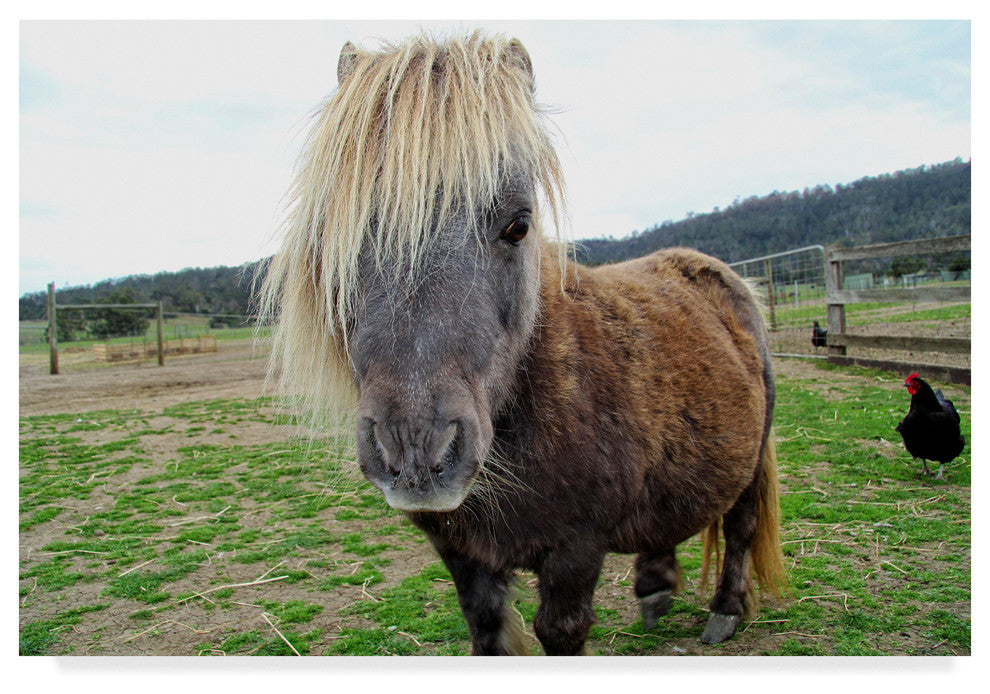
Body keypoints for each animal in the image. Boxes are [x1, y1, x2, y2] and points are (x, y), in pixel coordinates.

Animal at [260, 31, 786, 655]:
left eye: (518, 224)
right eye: (330, 232)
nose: (415, 450)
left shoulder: (575, 554)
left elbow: (560, 630)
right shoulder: (462, 553)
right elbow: (487, 630)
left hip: (752, 459)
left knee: (741, 525)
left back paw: (725, 611)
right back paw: (654, 590)